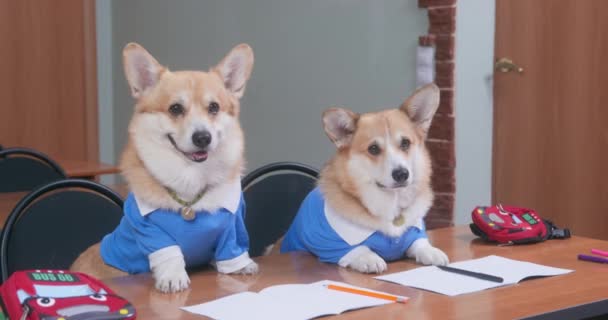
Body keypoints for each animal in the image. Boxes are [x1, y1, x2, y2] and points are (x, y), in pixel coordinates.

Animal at [72, 42, 258, 292]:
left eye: (214, 107)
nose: (203, 137)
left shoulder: (232, 226)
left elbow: (232, 249)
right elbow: (170, 254)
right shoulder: (147, 228)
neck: (190, 179)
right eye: (175, 108)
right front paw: (173, 277)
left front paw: (241, 266)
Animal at [282, 83, 448, 272]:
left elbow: (419, 243)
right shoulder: (328, 242)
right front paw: (368, 258)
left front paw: (432, 251)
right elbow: (356, 248)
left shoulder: (415, 230)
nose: (402, 174)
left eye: (405, 143)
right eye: (373, 149)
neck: (391, 205)